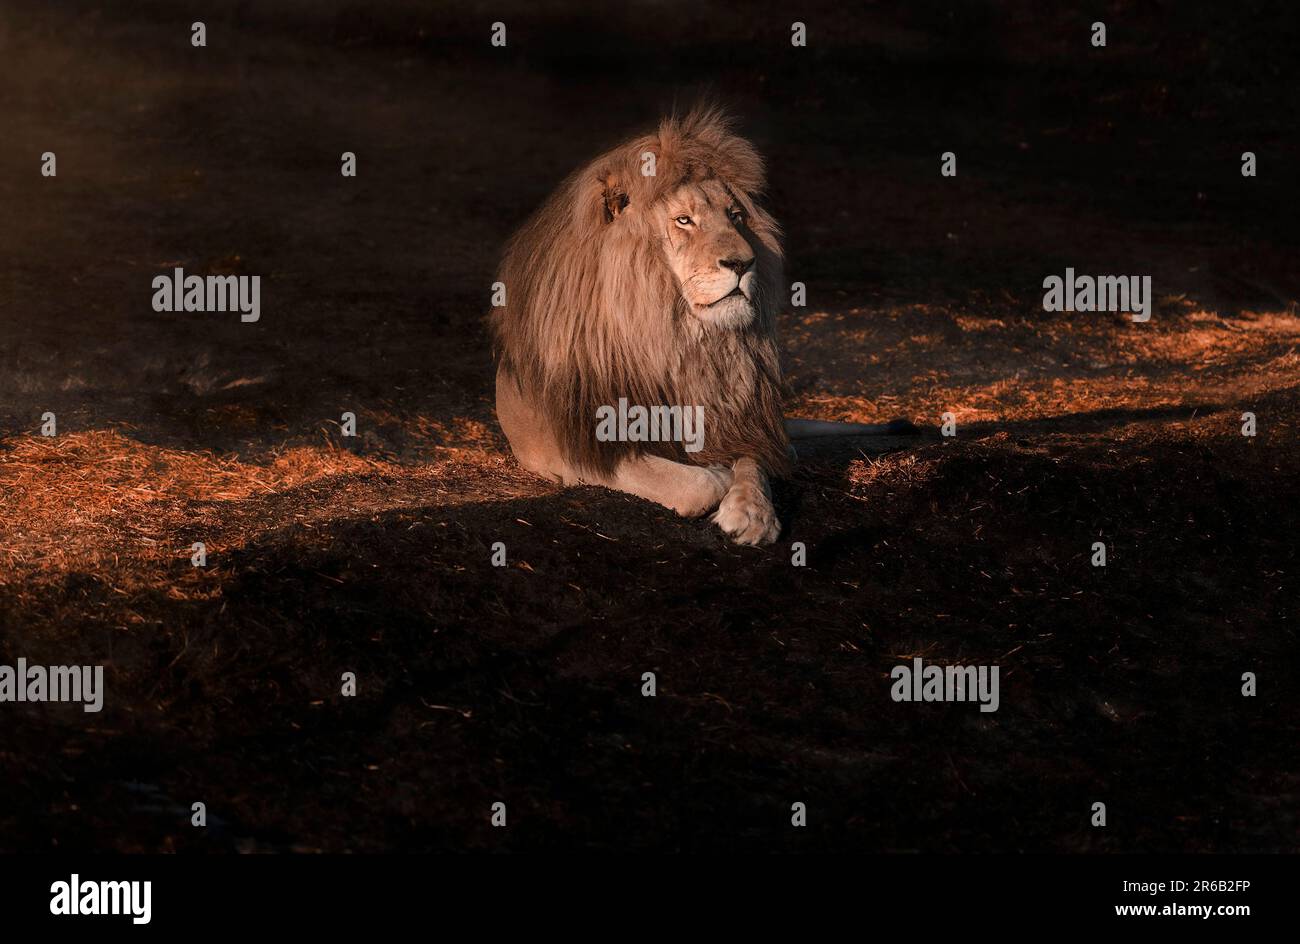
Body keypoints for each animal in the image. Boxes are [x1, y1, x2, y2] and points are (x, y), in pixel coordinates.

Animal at [491, 105, 912, 546]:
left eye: (736, 216)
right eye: (684, 220)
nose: (744, 263)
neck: (675, 336)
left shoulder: (735, 417)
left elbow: (752, 460)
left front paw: (752, 513)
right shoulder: (580, 447)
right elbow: (698, 483)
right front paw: (717, 475)